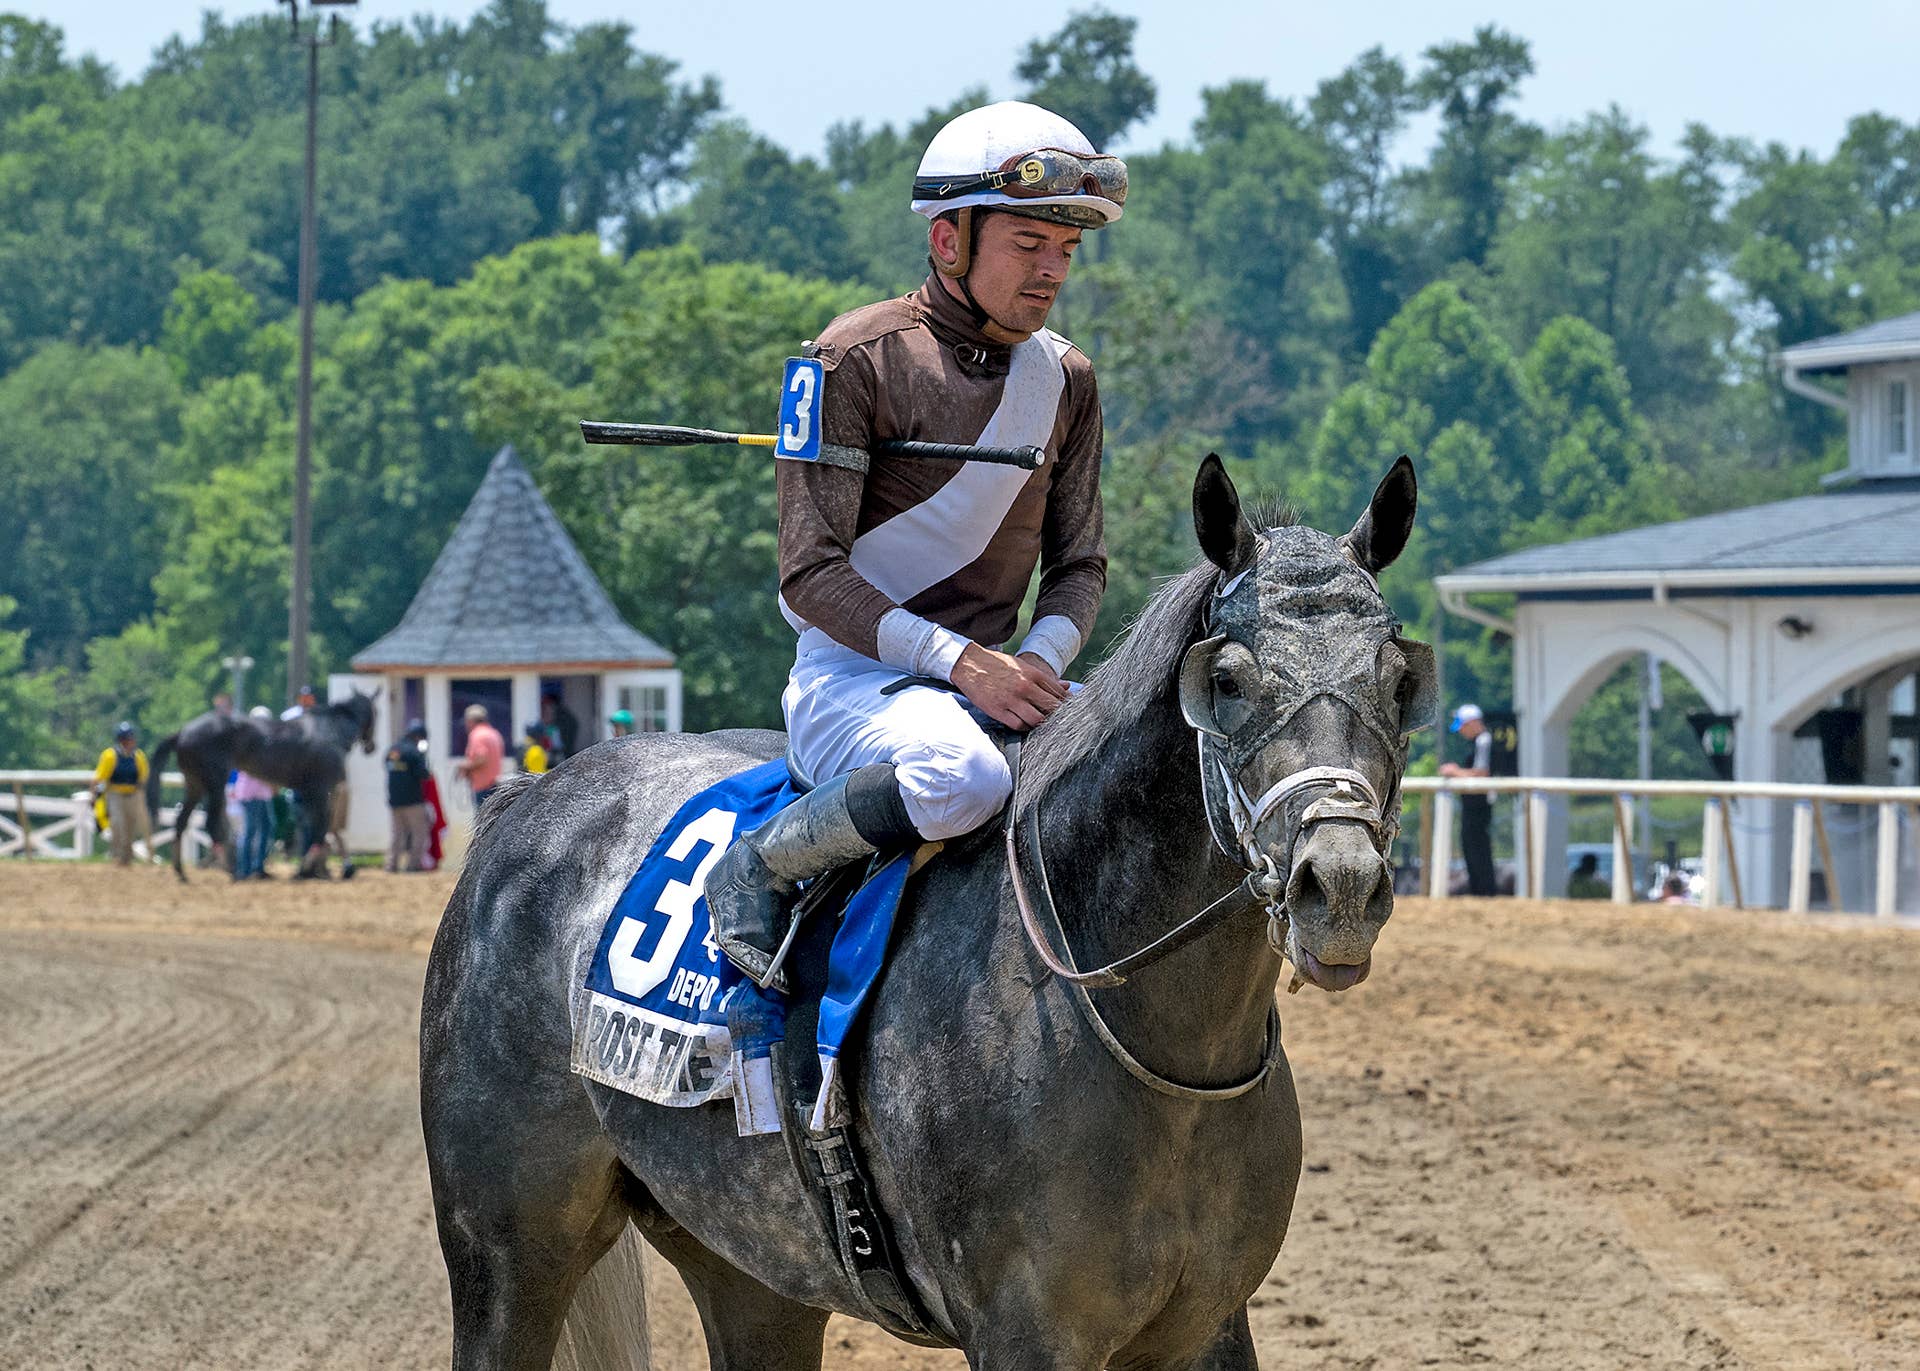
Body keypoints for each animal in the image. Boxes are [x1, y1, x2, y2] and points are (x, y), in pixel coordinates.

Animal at [146, 693, 378, 882]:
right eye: (377, 712)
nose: (371, 747)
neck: (329, 729)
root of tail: (183, 732)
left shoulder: (310, 793)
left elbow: (314, 827)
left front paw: (309, 870)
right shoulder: (322, 789)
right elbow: (321, 827)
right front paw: (307, 868)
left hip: (194, 784)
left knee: (181, 821)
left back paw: (181, 872)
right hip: (215, 784)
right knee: (212, 823)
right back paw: (232, 870)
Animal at [420, 454, 1433, 1371]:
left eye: (1397, 677)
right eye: (1226, 681)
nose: (1339, 884)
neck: (1158, 1048)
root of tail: (532, 795)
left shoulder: (1209, 1328)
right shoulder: (1026, 1335)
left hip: (751, 1273)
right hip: (506, 1255)